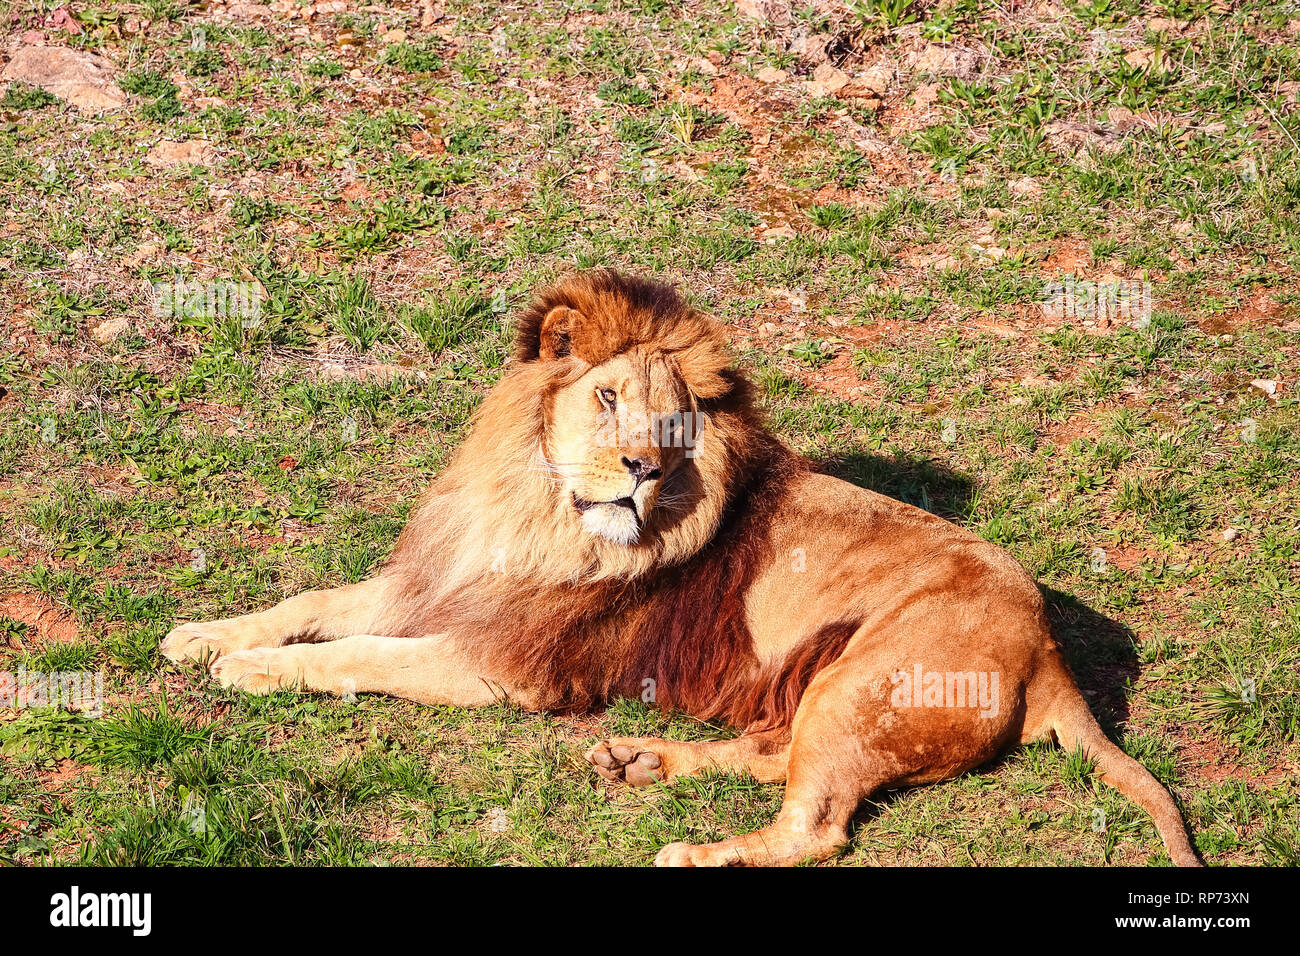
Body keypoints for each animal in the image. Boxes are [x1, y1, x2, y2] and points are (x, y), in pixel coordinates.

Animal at [161, 269, 1200, 867]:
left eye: (675, 426)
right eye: (608, 398)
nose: (641, 470)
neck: (537, 509)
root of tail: (1049, 654)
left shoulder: (507, 666)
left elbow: (362, 655)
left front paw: (252, 669)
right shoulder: (442, 583)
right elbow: (317, 600)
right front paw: (205, 634)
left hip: (866, 678)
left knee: (815, 828)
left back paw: (694, 851)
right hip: (823, 688)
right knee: (774, 755)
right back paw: (641, 760)